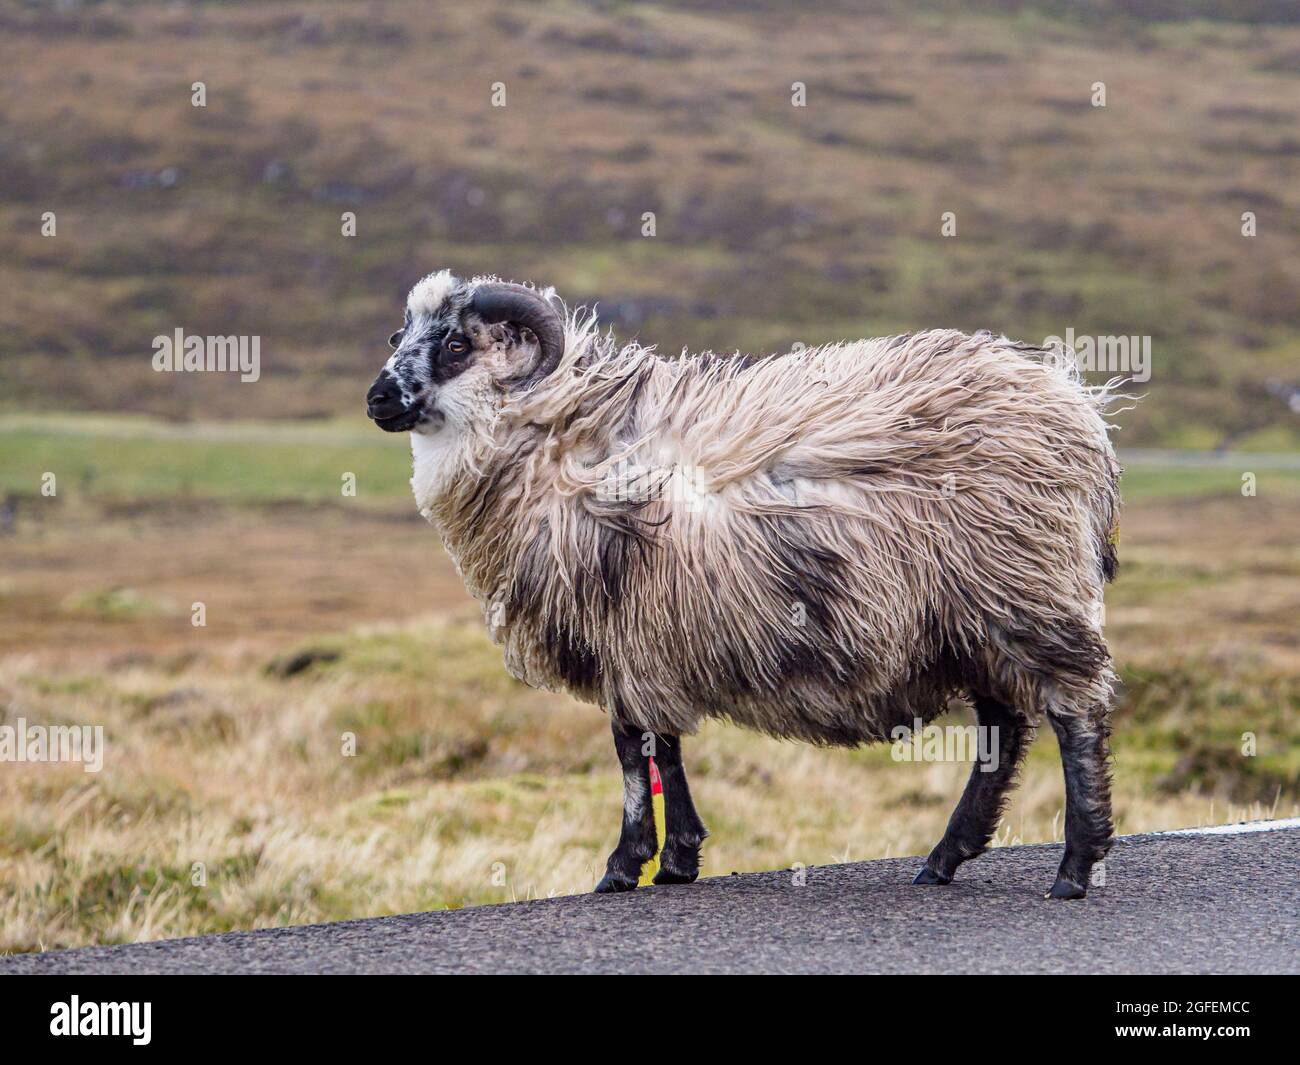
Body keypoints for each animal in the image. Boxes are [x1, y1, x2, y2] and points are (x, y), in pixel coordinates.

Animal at [366, 270, 1124, 900]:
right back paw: (945, 858)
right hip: (972, 616)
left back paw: (1074, 866)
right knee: (1004, 728)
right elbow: (662, 748)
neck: (555, 437)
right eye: (399, 338)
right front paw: (678, 859)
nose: (376, 399)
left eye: (456, 344)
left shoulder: (625, 634)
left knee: (1073, 713)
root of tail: (1076, 413)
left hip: (1023, 586)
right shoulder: (646, 639)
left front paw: (626, 865)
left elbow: (633, 750)